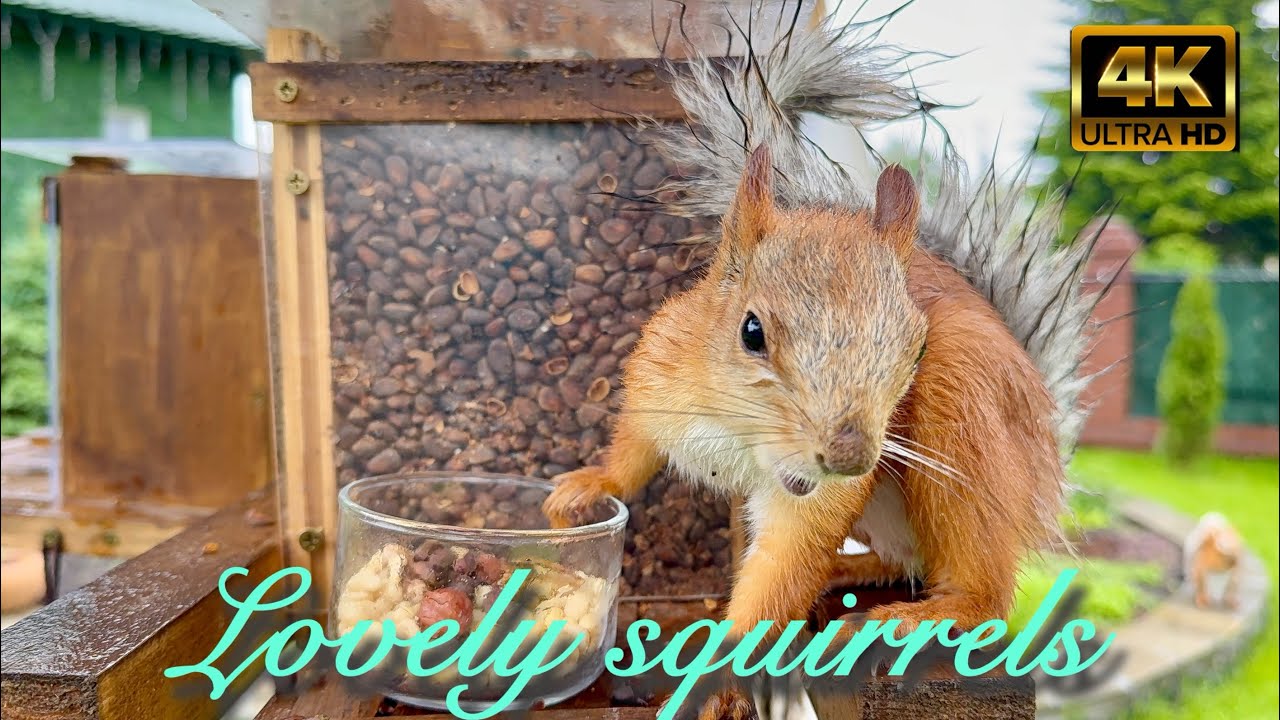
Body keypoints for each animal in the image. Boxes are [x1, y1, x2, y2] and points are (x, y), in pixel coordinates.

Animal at [544, 1, 1096, 689]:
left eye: (914, 348)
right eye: (751, 331)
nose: (849, 455)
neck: (740, 427)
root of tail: (1043, 451)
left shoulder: (812, 492)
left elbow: (785, 563)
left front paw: (724, 672)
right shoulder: (659, 379)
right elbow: (635, 448)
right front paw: (592, 483)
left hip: (962, 422)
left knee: (984, 593)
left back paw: (917, 617)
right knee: (908, 563)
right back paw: (852, 570)